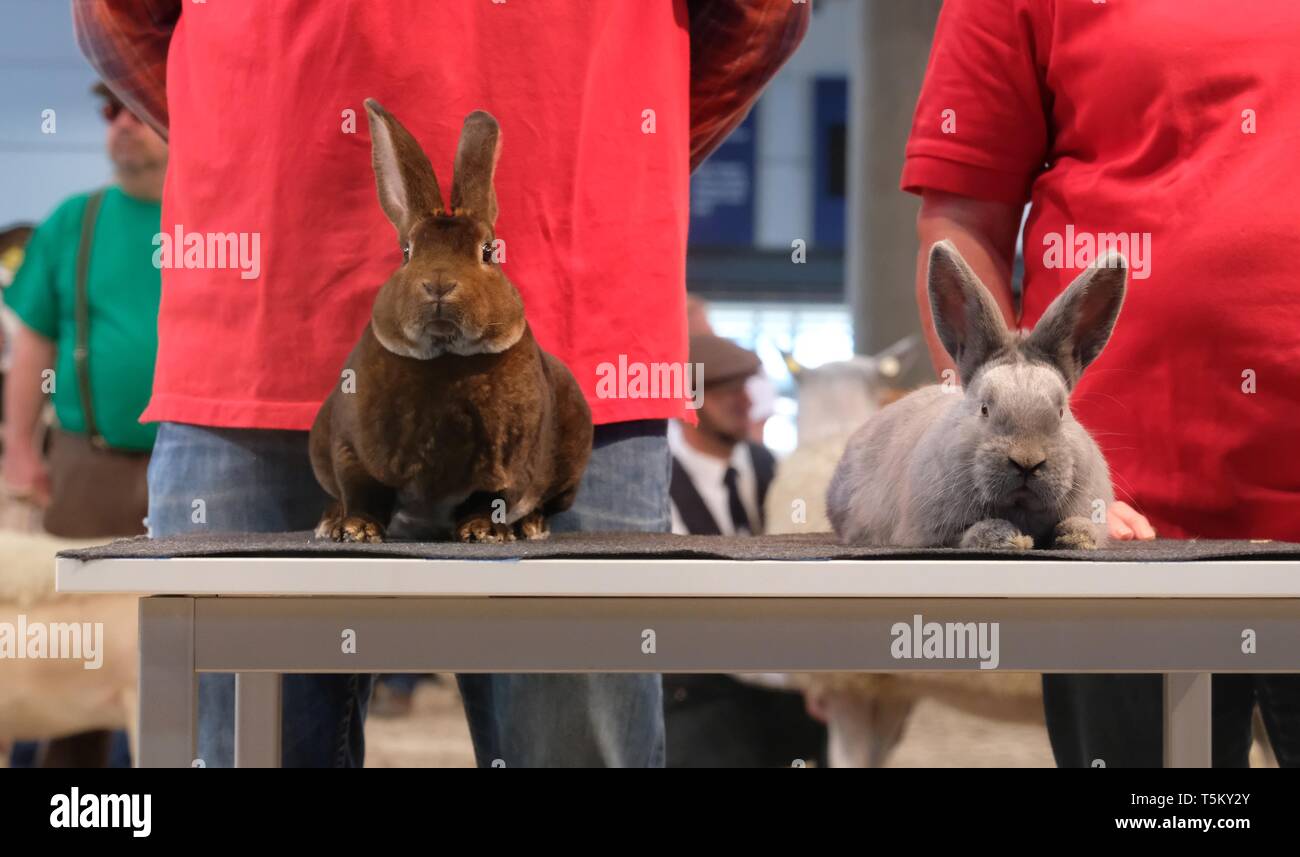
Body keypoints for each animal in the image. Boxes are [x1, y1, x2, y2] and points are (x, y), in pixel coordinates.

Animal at [309, 99, 593, 543]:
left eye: (489, 251)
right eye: (407, 252)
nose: (439, 284)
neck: (445, 357)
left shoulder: (509, 462)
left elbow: (493, 499)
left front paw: (483, 532)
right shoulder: (350, 449)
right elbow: (361, 490)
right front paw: (357, 530)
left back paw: (530, 526)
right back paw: (331, 522)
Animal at [827, 240, 1127, 550]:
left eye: (1061, 411)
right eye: (984, 409)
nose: (1027, 461)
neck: (1020, 508)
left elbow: (1083, 525)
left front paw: (1075, 536)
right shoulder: (929, 532)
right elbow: (969, 533)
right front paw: (1012, 539)